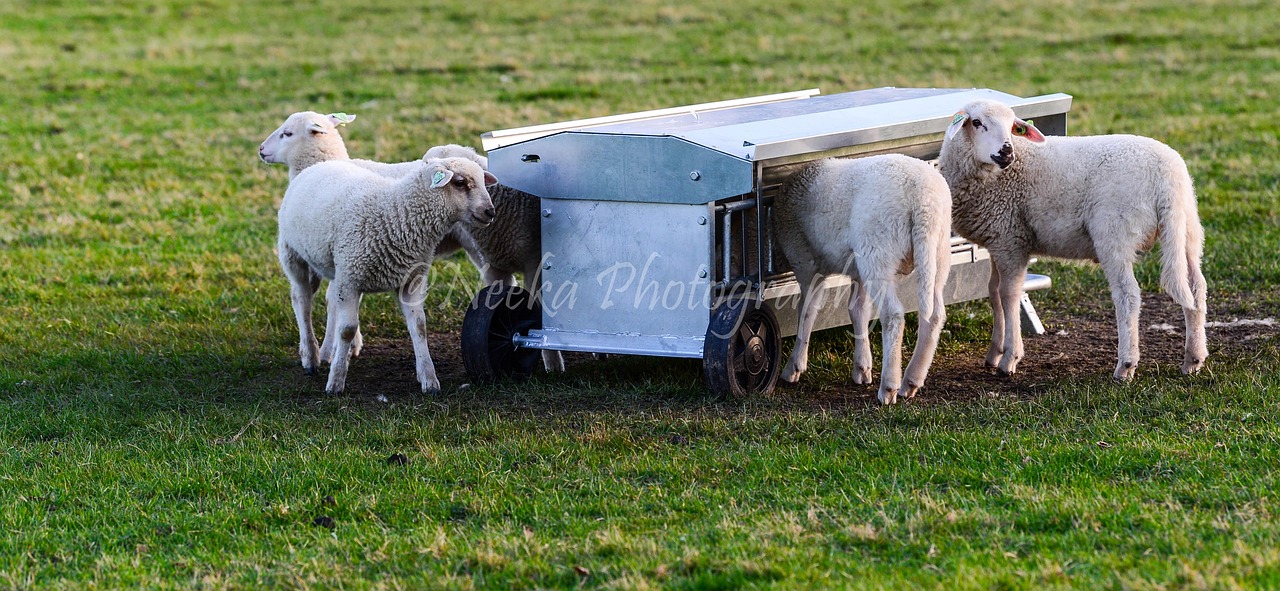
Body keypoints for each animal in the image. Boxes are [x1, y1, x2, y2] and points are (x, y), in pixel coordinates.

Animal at [277, 155, 498, 394]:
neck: (396, 214)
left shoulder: (410, 280)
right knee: (302, 301)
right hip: (293, 254)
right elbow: (346, 329)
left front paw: (428, 379)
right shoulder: (350, 280)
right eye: (460, 182)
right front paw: (335, 382)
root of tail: (320, 165)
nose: (490, 212)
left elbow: (419, 326)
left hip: (339, 268)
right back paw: (311, 356)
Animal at [774, 154, 953, 404]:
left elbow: (807, 311)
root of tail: (923, 201)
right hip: (937, 251)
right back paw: (911, 380)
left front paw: (794, 367)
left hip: (878, 249)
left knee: (893, 315)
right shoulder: (858, 272)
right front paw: (862, 366)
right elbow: (857, 310)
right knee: (934, 315)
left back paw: (888, 387)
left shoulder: (806, 262)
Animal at [938, 99, 1207, 381]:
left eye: (1012, 126)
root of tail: (1167, 177)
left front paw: (1010, 357)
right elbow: (993, 292)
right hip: (1186, 230)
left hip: (1115, 232)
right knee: (1196, 287)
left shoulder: (1011, 239)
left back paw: (1125, 365)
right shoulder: (998, 239)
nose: (1006, 151)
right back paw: (1193, 358)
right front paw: (995, 352)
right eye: (977, 123)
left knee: (1128, 295)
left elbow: (1008, 294)